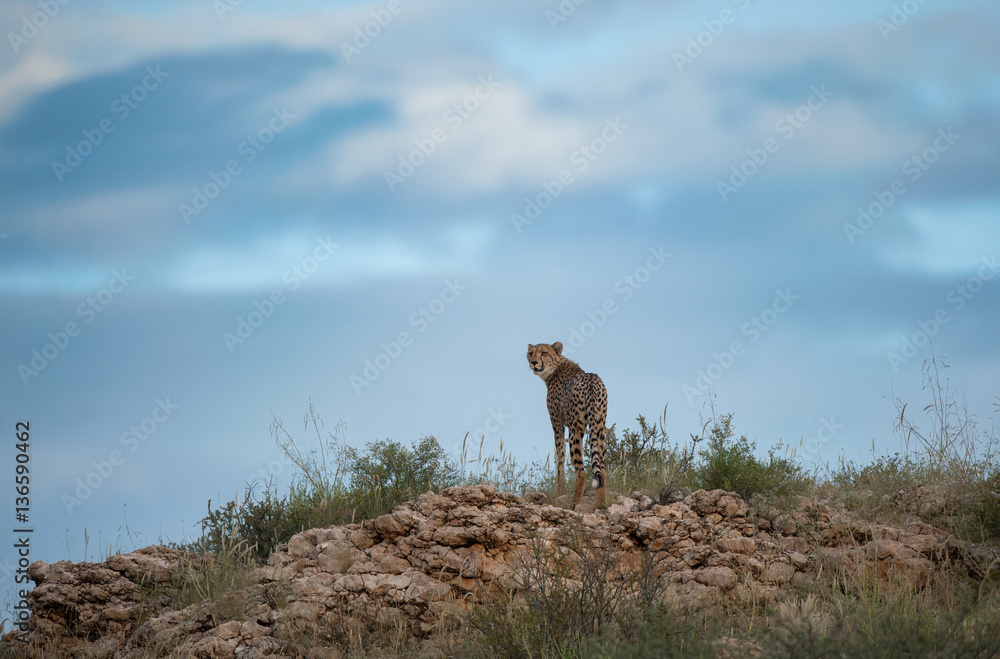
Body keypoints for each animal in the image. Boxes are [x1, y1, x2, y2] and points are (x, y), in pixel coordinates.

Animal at [526, 341, 608, 508]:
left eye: (544, 353)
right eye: (531, 353)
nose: (534, 362)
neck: (555, 367)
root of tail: (591, 379)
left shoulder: (557, 423)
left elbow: (560, 459)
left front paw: (560, 492)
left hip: (575, 429)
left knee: (581, 471)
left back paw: (574, 503)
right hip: (600, 426)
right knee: (602, 468)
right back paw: (600, 504)